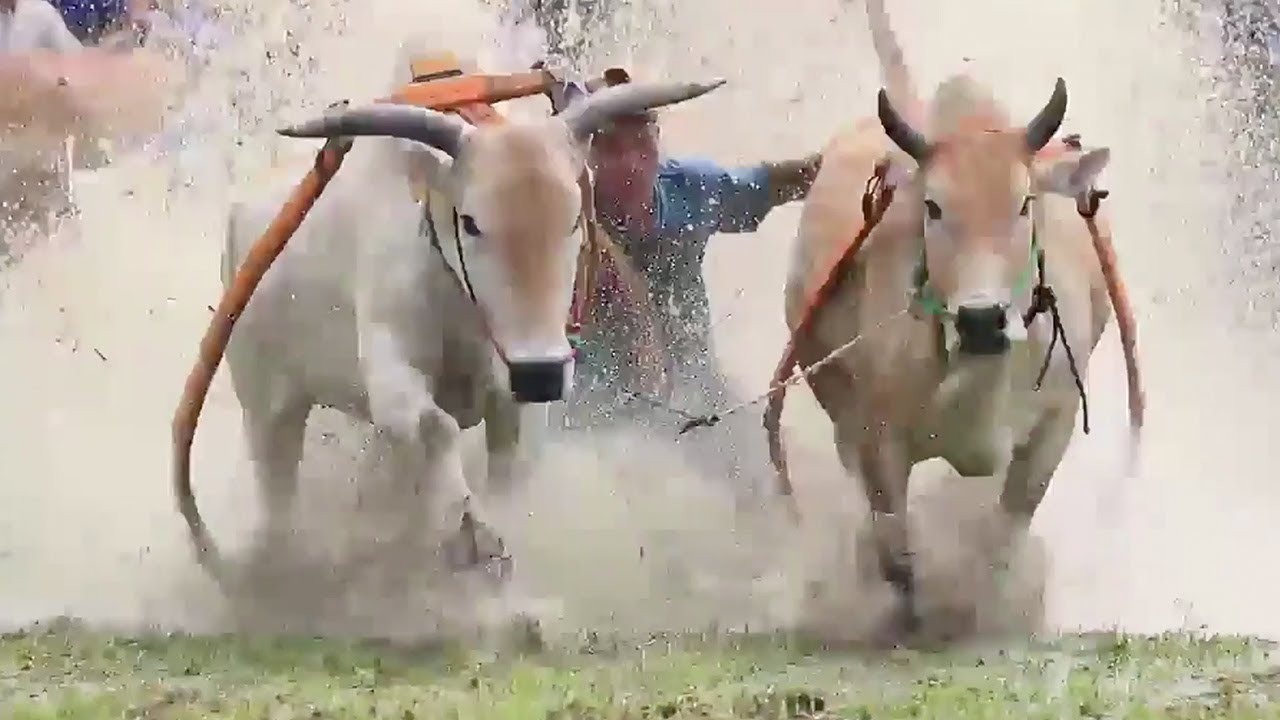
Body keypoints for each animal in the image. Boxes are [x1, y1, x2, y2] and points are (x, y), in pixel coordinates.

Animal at [191, 45, 726, 591]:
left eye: (575, 217)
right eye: (471, 222)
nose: (539, 373)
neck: (461, 306)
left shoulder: (519, 397)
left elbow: (508, 469)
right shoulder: (390, 374)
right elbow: (436, 428)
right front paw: (471, 531)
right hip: (267, 407)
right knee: (277, 497)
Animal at [780, 0, 1119, 640]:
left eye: (1024, 202)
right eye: (933, 206)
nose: (983, 321)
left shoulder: (1057, 419)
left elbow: (1002, 536)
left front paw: (987, 609)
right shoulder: (876, 432)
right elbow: (895, 548)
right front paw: (910, 618)